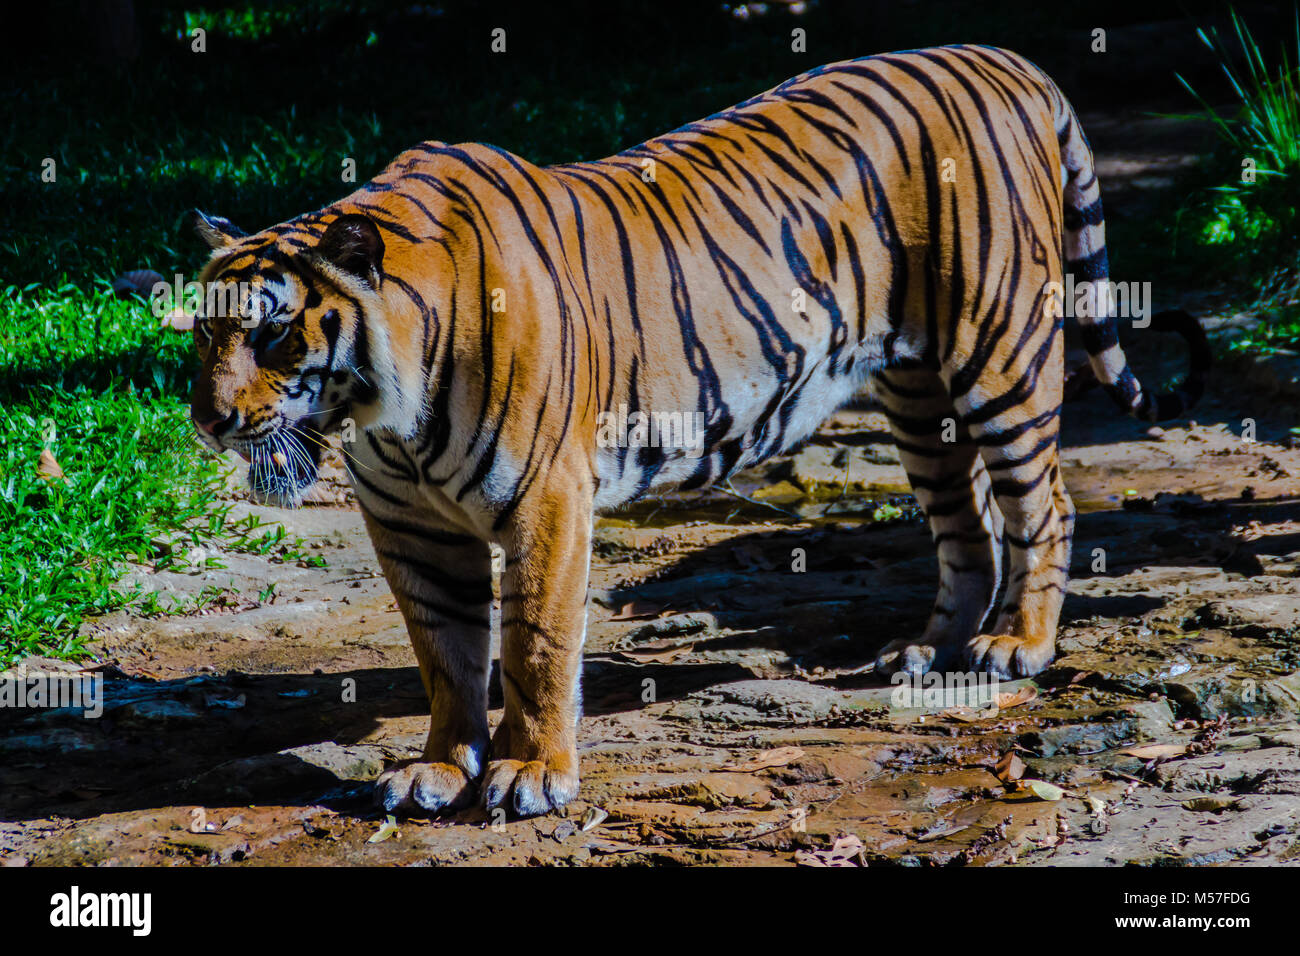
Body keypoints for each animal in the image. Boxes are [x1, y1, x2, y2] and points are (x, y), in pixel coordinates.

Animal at [186, 44, 1209, 818]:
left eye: (274, 333)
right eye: (201, 331)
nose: (207, 419)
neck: (381, 413)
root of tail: (1003, 58)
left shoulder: (545, 498)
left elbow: (534, 644)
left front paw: (533, 774)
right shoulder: (410, 526)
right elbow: (446, 652)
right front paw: (440, 768)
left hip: (999, 356)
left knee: (1045, 508)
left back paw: (1017, 646)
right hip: (920, 399)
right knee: (970, 527)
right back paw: (929, 651)